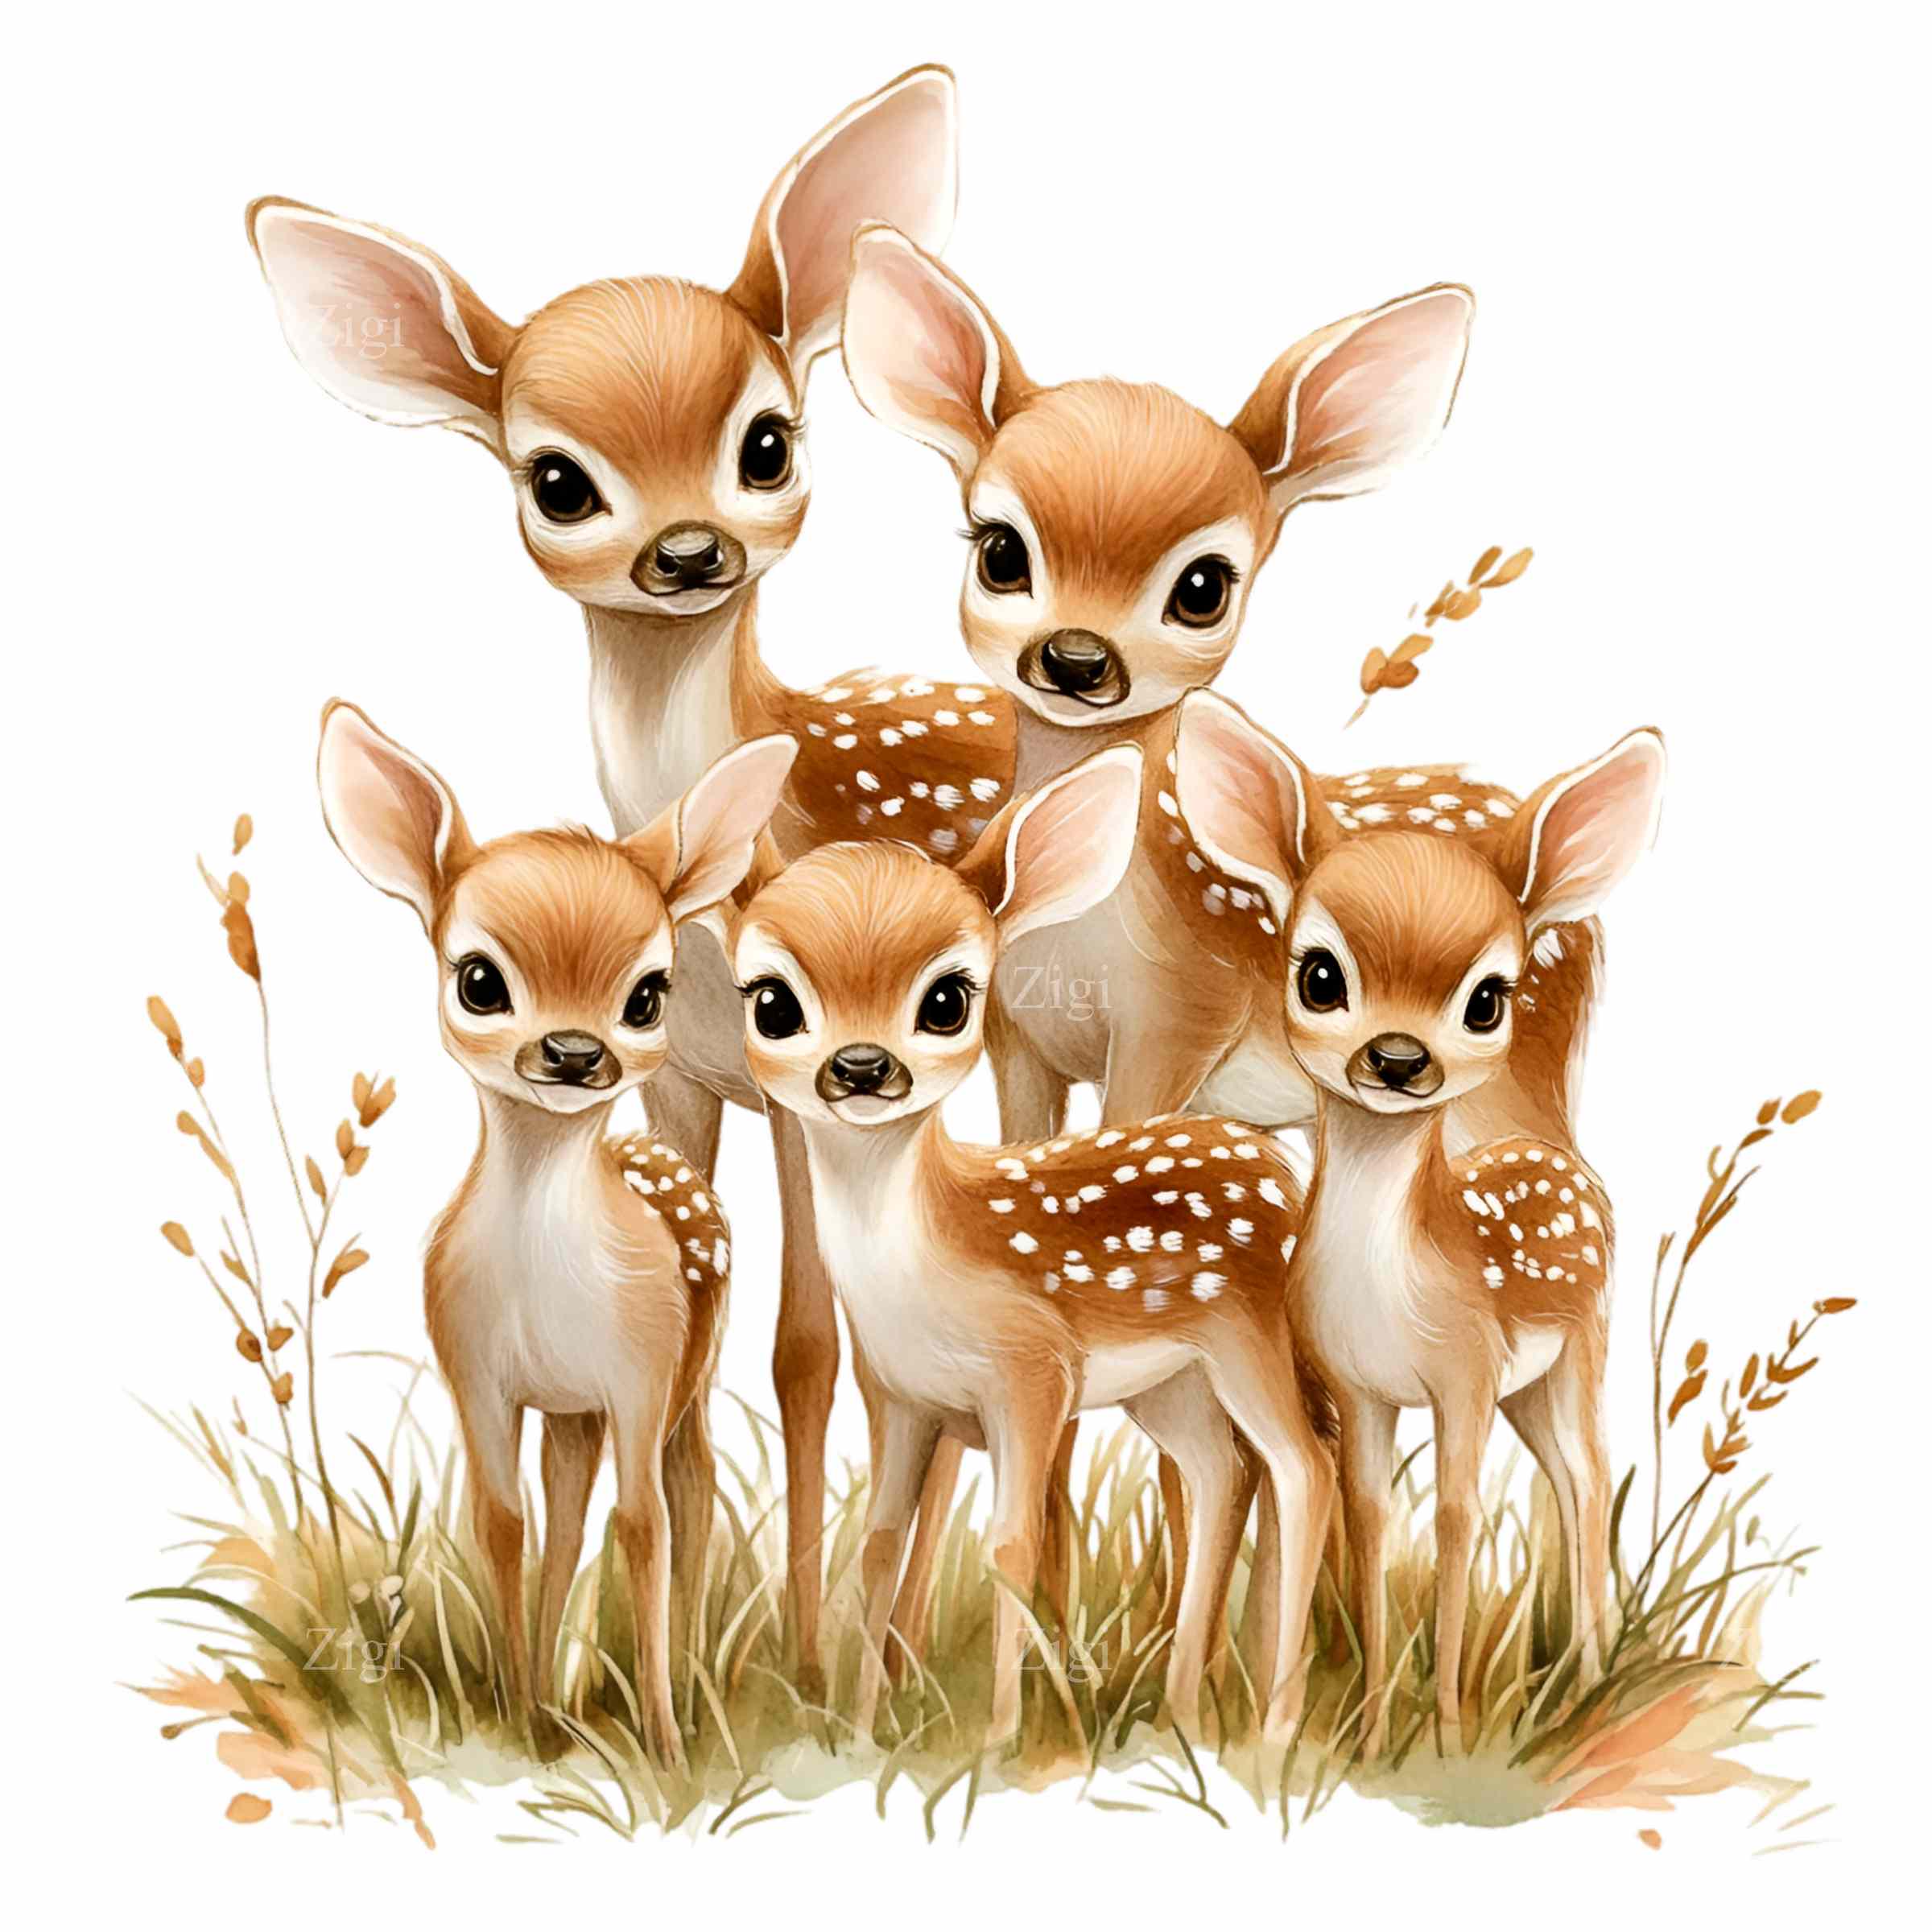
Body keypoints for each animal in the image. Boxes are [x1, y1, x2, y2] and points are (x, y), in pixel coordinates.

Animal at [315, 698, 797, 1768]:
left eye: (648, 993)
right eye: (480, 980)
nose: (575, 1053)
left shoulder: (640, 1371)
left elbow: (643, 1527)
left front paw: (663, 1745)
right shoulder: (473, 1371)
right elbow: (504, 1523)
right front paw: (515, 1717)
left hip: (690, 1371)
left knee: (693, 1496)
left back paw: (696, 1690)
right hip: (570, 1411)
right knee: (565, 1518)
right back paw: (553, 1707)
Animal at [725, 743, 1335, 1748]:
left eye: (945, 999)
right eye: (774, 1002)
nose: (861, 1068)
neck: (923, 1261)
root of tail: (1285, 1178)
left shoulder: (1033, 1368)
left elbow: (1008, 1543)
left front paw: (1001, 1735)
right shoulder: (906, 1396)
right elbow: (880, 1545)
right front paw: (858, 1730)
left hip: (1251, 1340)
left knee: (1302, 1466)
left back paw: (1275, 1723)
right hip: (1172, 1385)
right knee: (1221, 1470)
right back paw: (1179, 1712)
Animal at [1173, 689, 1665, 1750]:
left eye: (1487, 998)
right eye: (1320, 975)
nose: (1398, 1057)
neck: (1387, 1293)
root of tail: (1572, 1174)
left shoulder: (1465, 1372)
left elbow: (1455, 1517)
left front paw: (1442, 1731)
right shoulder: (1362, 1388)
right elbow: (1371, 1515)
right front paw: (1366, 1728)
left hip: (1579, 1348)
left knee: (1592, 1475)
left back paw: (1588, 1680)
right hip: (1531, 1388)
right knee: (1566, 1474)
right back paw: (1575, 1675)